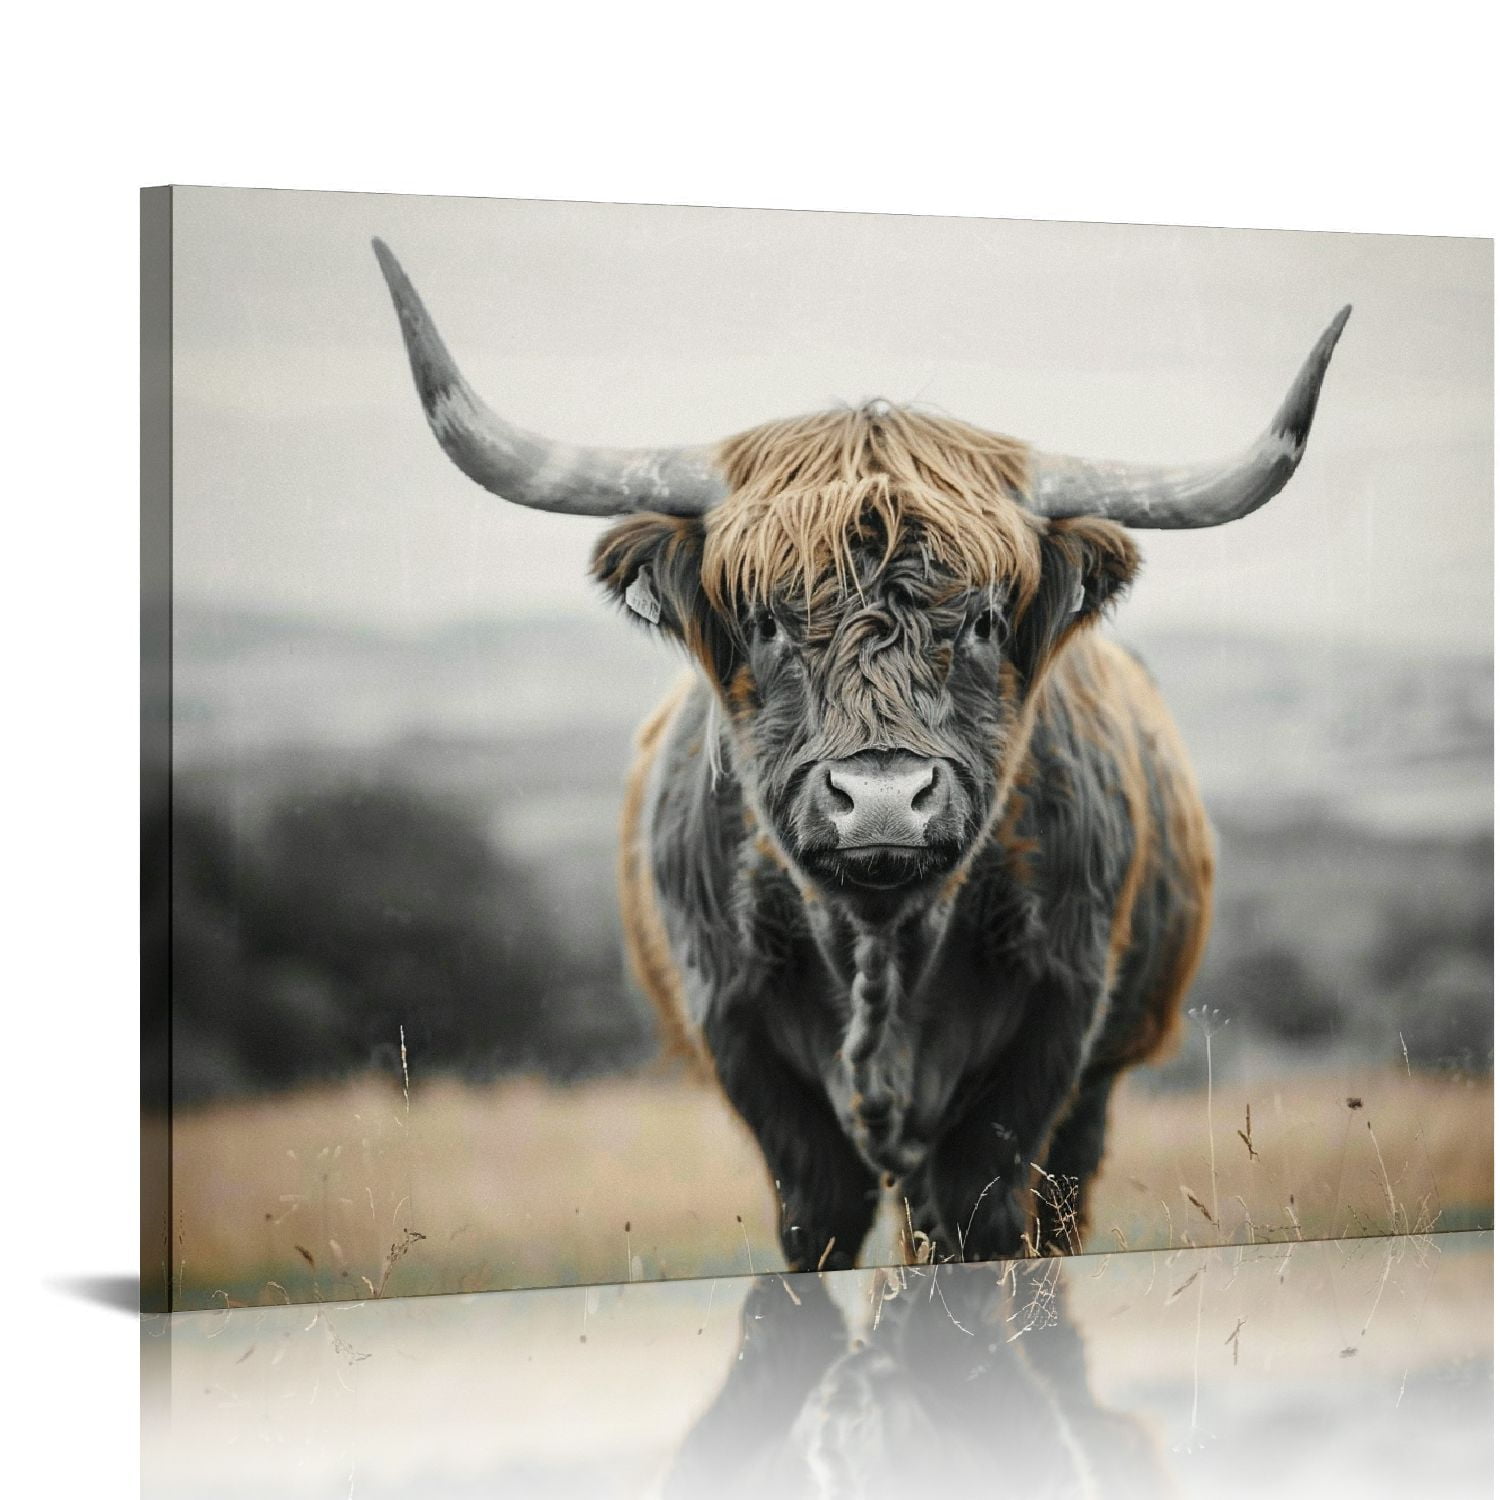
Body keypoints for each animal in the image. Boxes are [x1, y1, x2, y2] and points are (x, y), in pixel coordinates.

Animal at [373, 238, 1348, 1270]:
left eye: (986, 619)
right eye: (764, 620)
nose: (882, 799)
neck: (882, 940)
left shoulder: (1055, 1030)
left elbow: (981, 1217)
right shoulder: (741, 1040)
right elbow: (818, 1220)